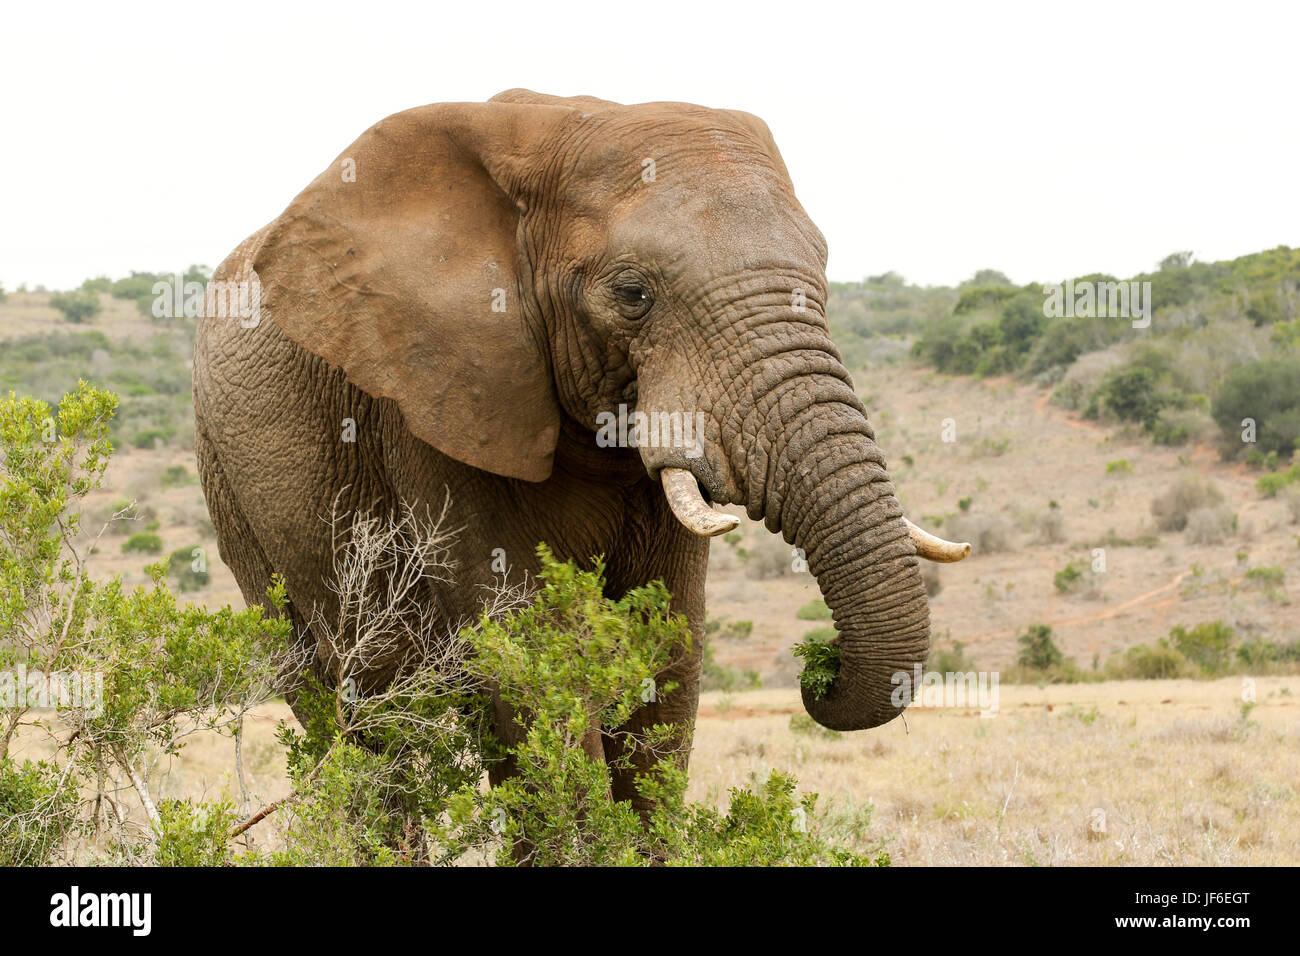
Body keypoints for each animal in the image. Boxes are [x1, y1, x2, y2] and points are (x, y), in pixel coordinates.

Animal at [193, 88, 969, 806]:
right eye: (632, 294)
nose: (818, 665)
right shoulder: (430, 406)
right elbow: (534, 654)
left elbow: (669, 654)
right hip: (233, 494)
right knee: (357, 725)